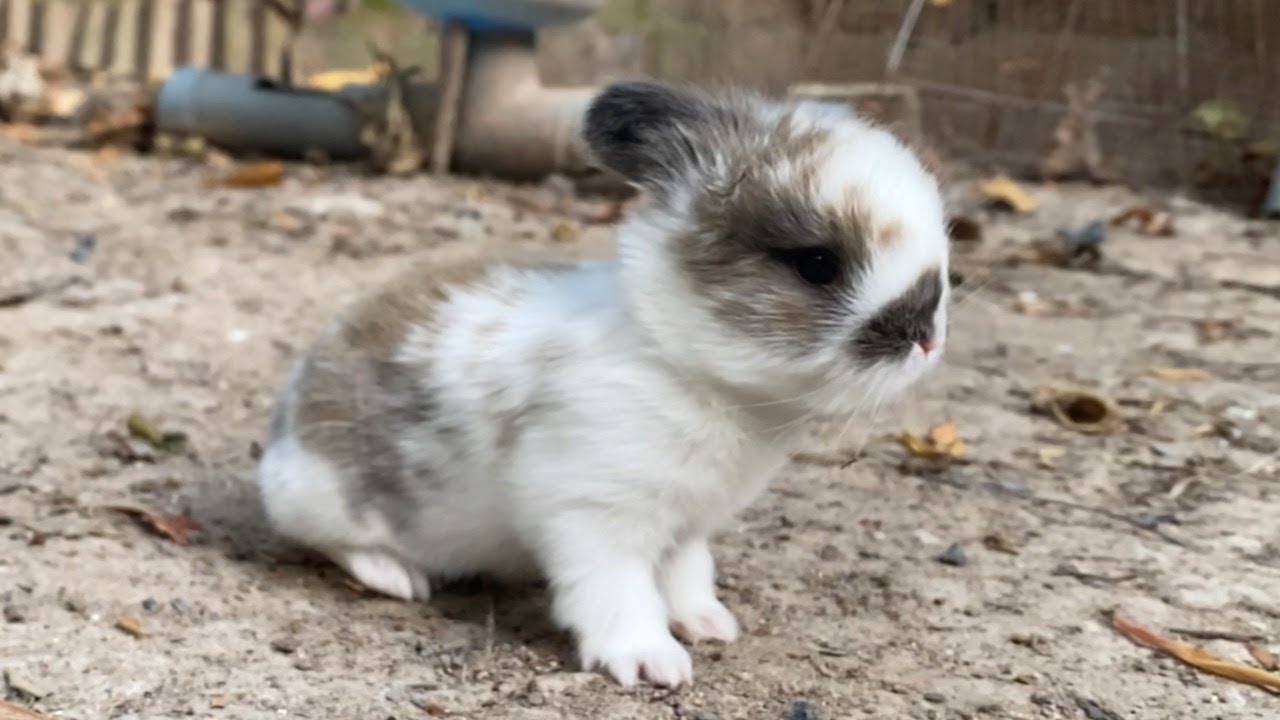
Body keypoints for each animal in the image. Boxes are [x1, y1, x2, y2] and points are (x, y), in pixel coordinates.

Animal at [257, 80, 951, 688]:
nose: (925, 335)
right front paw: (649, 661)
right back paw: (394, 576)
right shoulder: (592, 515)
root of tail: (284, 433)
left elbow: (686, 574)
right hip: (321, 497)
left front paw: (707, 623)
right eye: (816, 263)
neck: (689, 365)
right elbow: (617, 591)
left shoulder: (687, 528)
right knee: (326, 540)